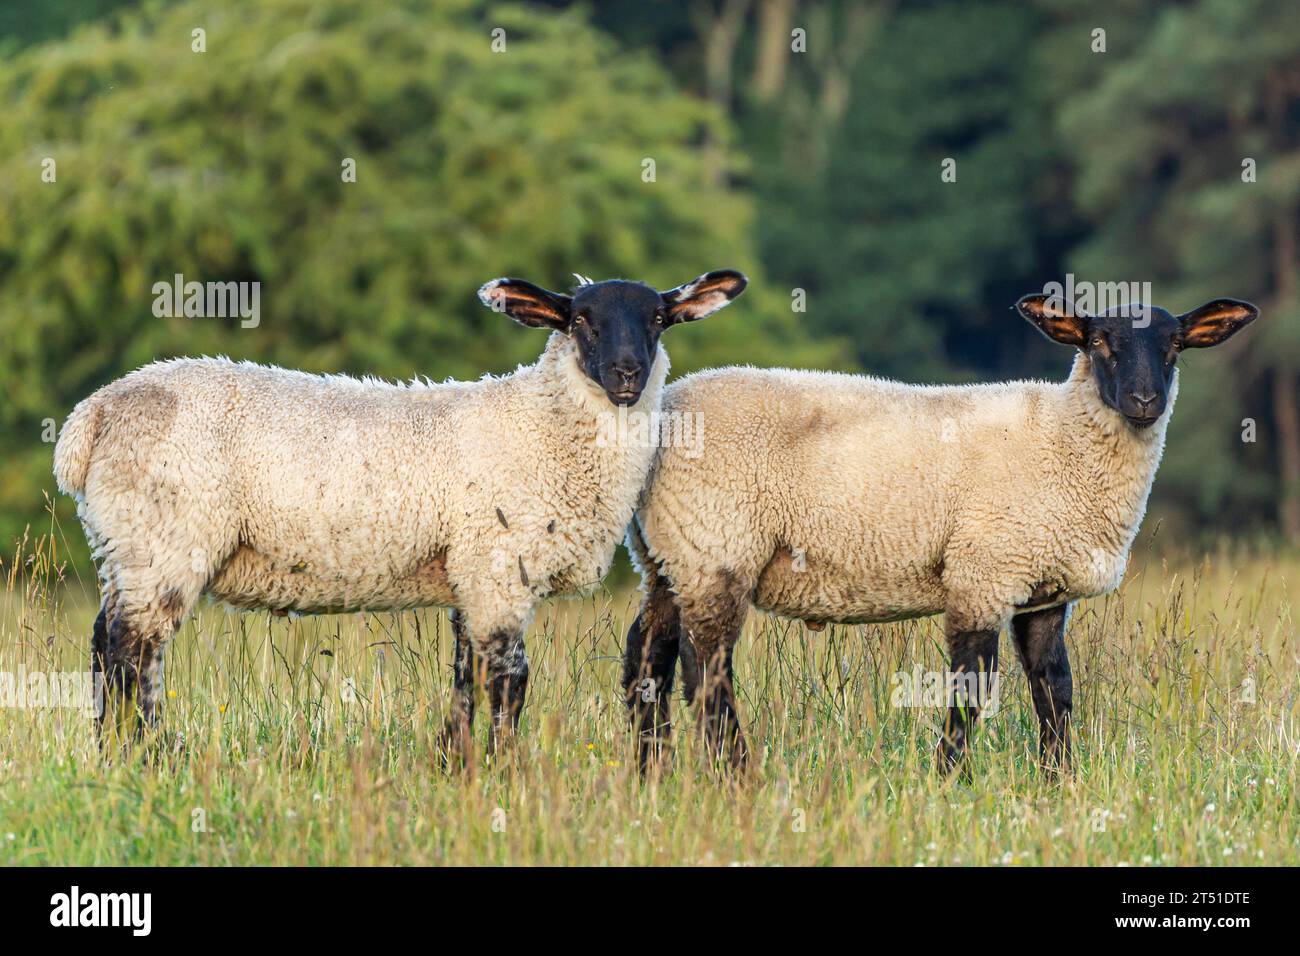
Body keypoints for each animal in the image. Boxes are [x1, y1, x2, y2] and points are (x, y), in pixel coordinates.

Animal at [53, 269, 748, 755]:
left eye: (658, 317)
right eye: (580, 319)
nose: (628, 374)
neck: (542, 427)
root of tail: (91, 419)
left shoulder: (469, 573)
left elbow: (467, 677)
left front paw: (456, 764)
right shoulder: (498, 568)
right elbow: (510, 682)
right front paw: (505, 773)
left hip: (125, 544)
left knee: (102, 646)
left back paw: (110, 758)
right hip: (164, 540)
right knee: (131, 654)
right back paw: (149, 760)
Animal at [622, 294, 1259, 774]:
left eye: (1174, 346)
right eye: (1098, 342)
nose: (1144, 400)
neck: (1062, 441)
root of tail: (662, 412)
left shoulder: (1044, 591)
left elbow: (1055, 692)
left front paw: (1059, 782)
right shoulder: (984, 573)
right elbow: (972, 691)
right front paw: (949, 779)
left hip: (669, 555)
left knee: (646, 657)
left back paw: (651, 771)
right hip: (716, 544)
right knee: (705, 669)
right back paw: (735, 774)